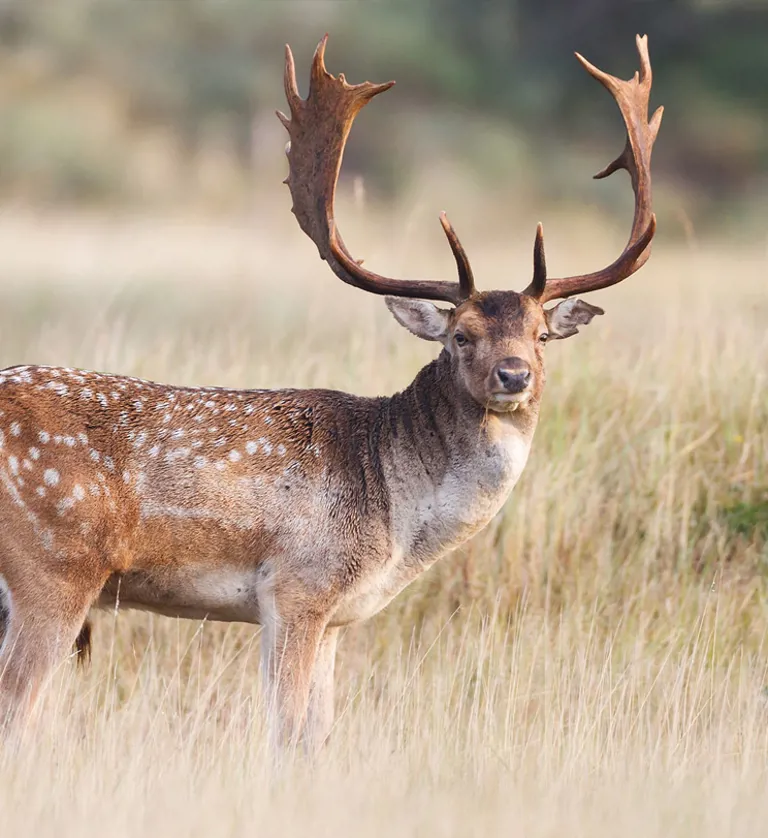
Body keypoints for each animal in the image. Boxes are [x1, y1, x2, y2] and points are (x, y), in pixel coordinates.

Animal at [0, 34, 662, 751]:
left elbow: (317, 736)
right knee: (17, 708)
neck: (396, 517)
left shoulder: (340, 618)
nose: (514, 376)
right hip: (55, 565)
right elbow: (288, 733)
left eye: (542, 335)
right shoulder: (299, 585)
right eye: (460, 335)